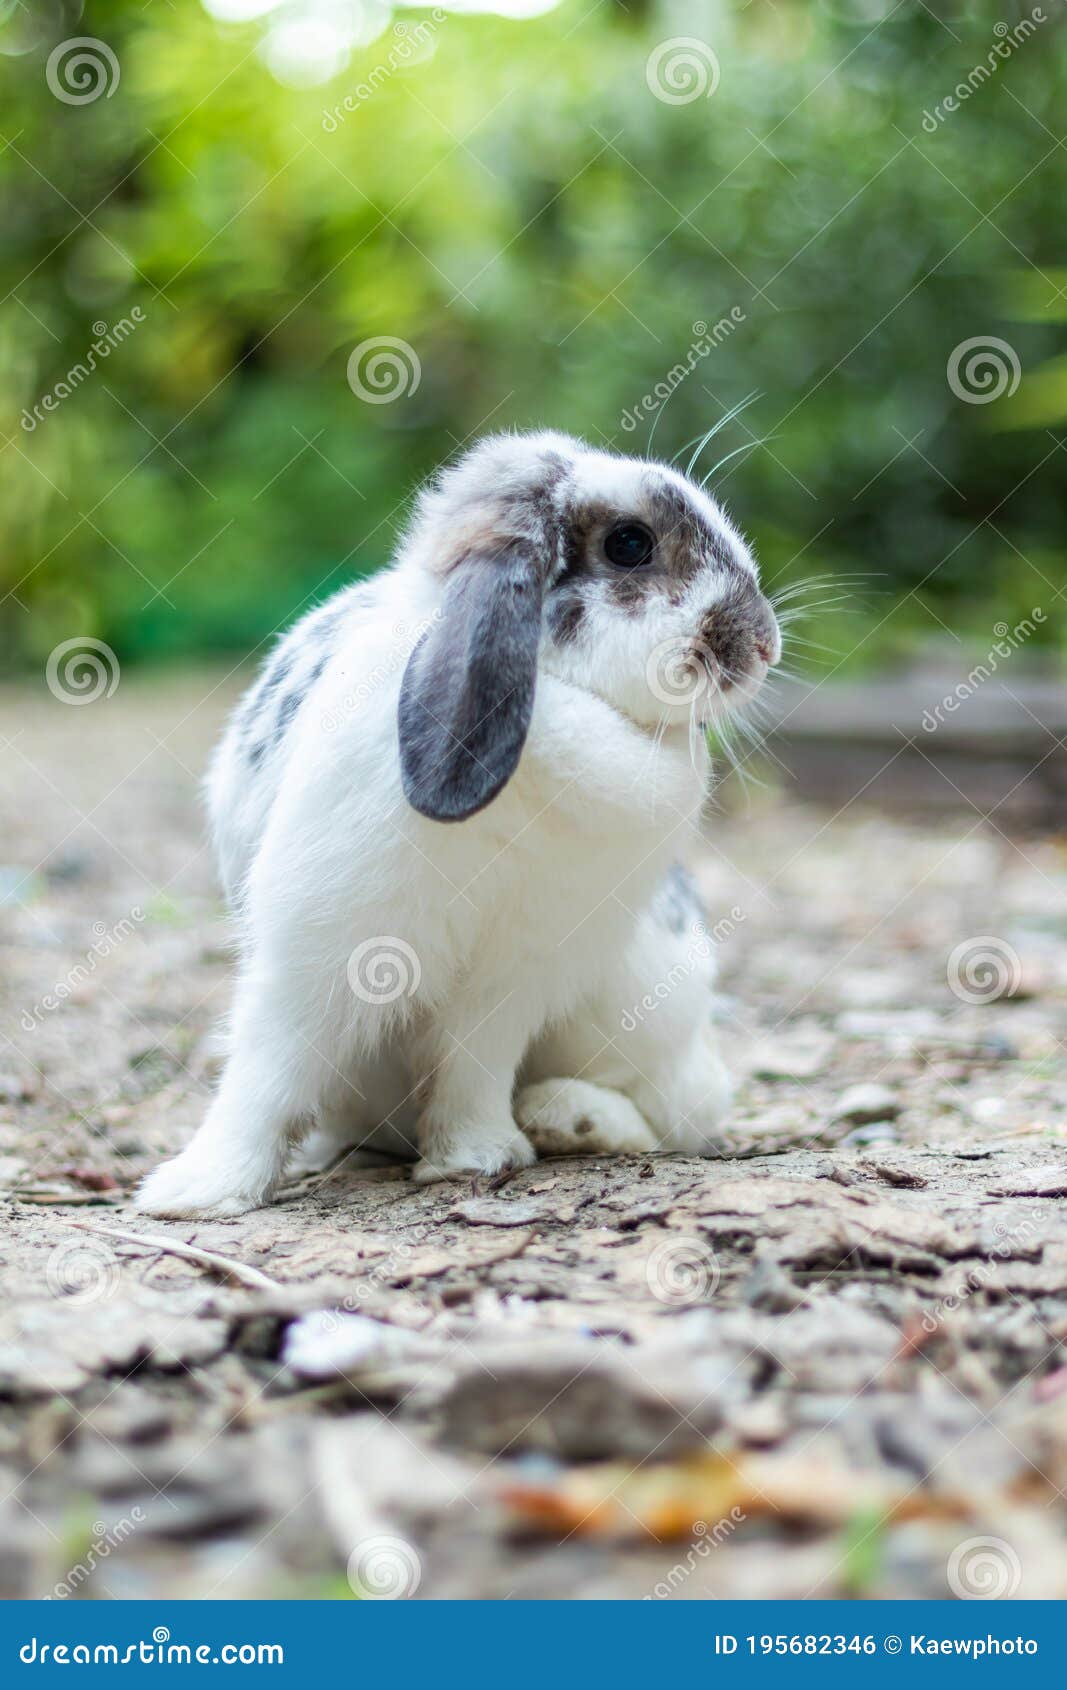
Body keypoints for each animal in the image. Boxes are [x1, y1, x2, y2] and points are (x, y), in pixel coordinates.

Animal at [136, 430, 780, 1218]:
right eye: (630, 544)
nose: (763, 646)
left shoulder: (512, 977)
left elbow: (475, 1066)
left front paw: (475, 1157)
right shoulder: (316, 953)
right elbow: (266, 1072)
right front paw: (196, 1191)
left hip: (647, 1009)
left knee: (678, 1115)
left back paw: (565, 1117)